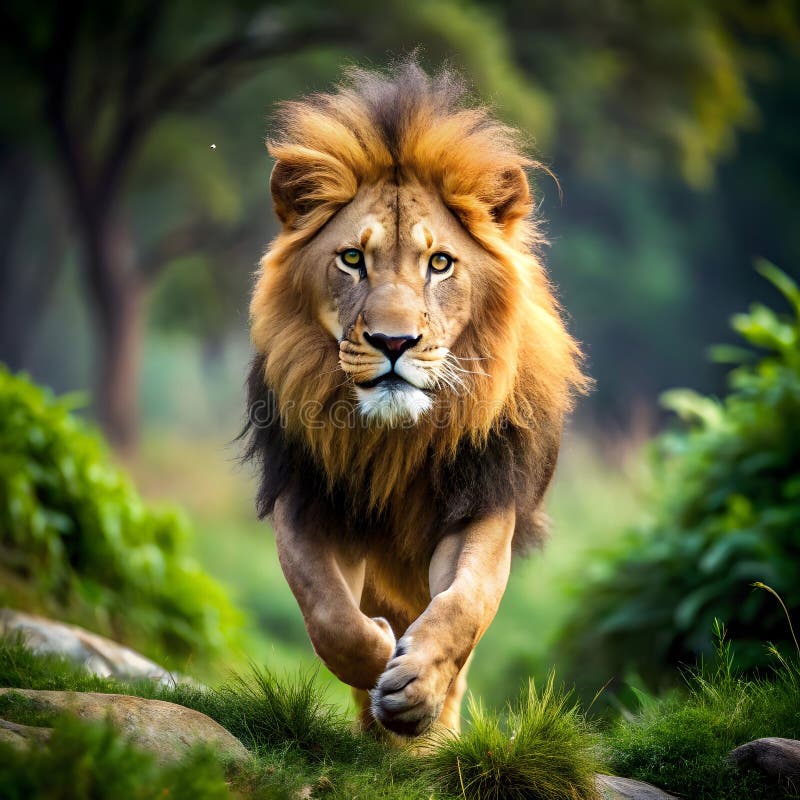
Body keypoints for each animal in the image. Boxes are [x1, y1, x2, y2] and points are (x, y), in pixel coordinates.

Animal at [243, 60, 588, 737]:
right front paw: (380, 658)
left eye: (440, 263)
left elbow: (464, 603)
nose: (394, 341)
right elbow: (330, 616)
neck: (397, 438)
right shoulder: (308, 499)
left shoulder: (483, 503)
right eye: (352, 258)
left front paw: (417, 688)